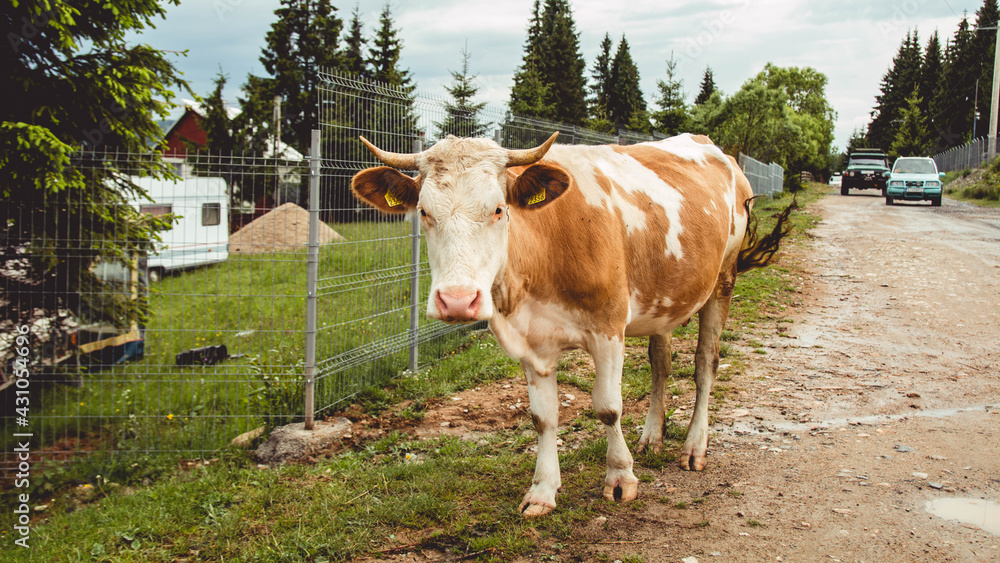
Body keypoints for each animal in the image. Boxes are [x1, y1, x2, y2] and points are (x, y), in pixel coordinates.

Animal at [351, 132, 791, 517]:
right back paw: (652, 437)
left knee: (704, 365)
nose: (457, 300)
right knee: (661, 364)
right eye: (424, 212)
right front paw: (543, 491)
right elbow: (543, 417)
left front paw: (620, 478)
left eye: (499, 209)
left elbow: (608, 408)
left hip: (723, 281)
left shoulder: (609, 328)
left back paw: (694, 447)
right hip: (664, 298)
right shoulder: (532, 341)